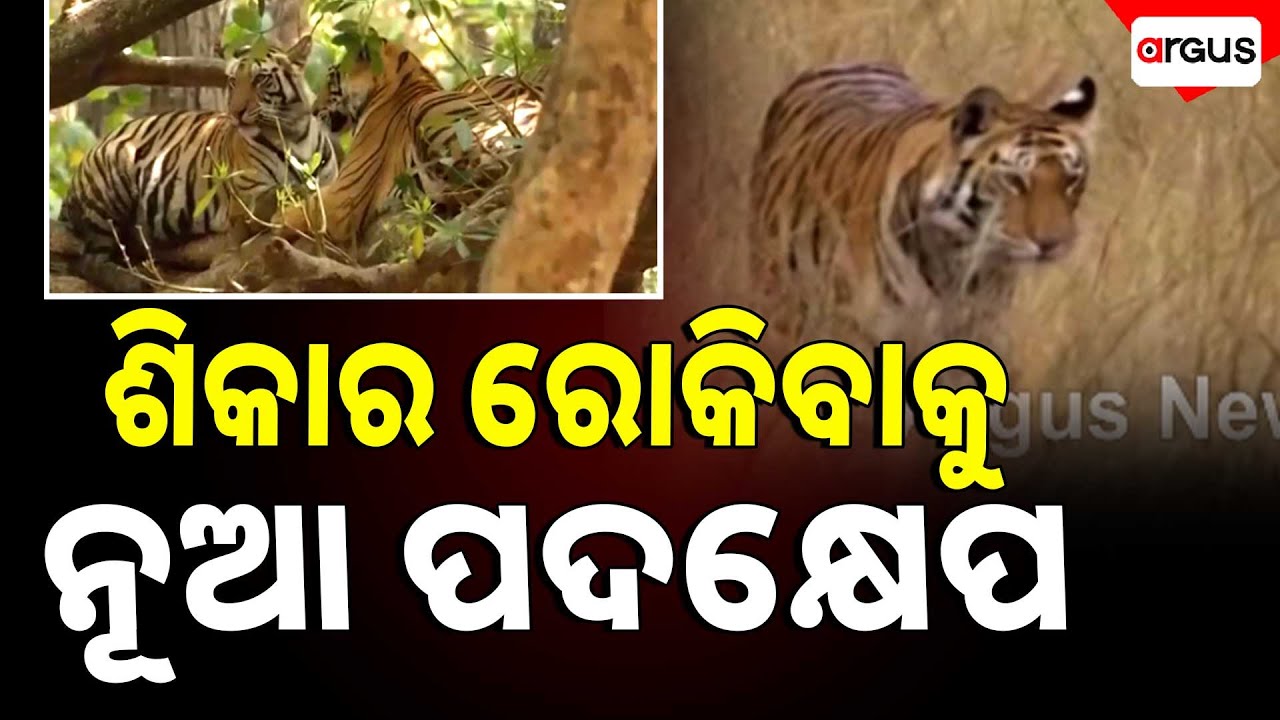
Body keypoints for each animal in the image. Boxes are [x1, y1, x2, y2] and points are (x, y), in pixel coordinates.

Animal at [59, 34, 339, 269]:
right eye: (233, 81)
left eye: (260, 79)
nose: (235, 112)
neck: (296, 136)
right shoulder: (249, 196)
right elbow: (287, 190)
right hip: (115, 168)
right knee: (92, 257)